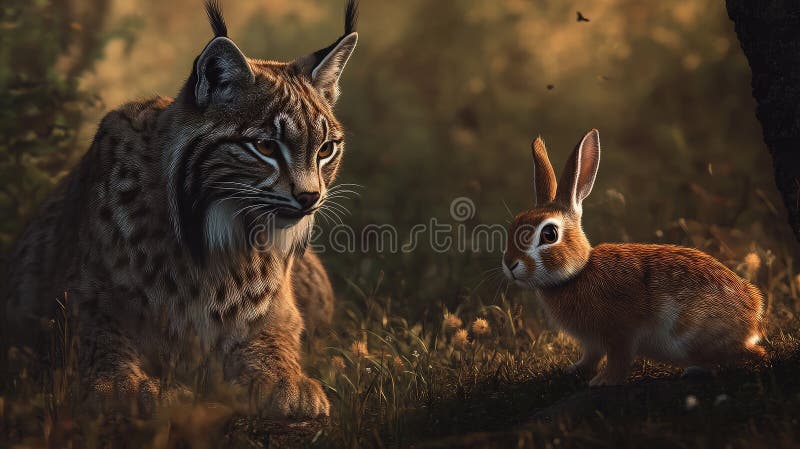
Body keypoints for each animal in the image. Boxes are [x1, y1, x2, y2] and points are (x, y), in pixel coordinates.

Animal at [502, 129, 766, 386]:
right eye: (514, 224)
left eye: (549, 234)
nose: (510, 264)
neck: (578, 273)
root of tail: (754, 314)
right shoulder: (592, 343)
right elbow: (591, 357)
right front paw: (574, 370)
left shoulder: (621, 332)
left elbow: (619, 358)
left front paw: (603, 382)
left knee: (750, 355)